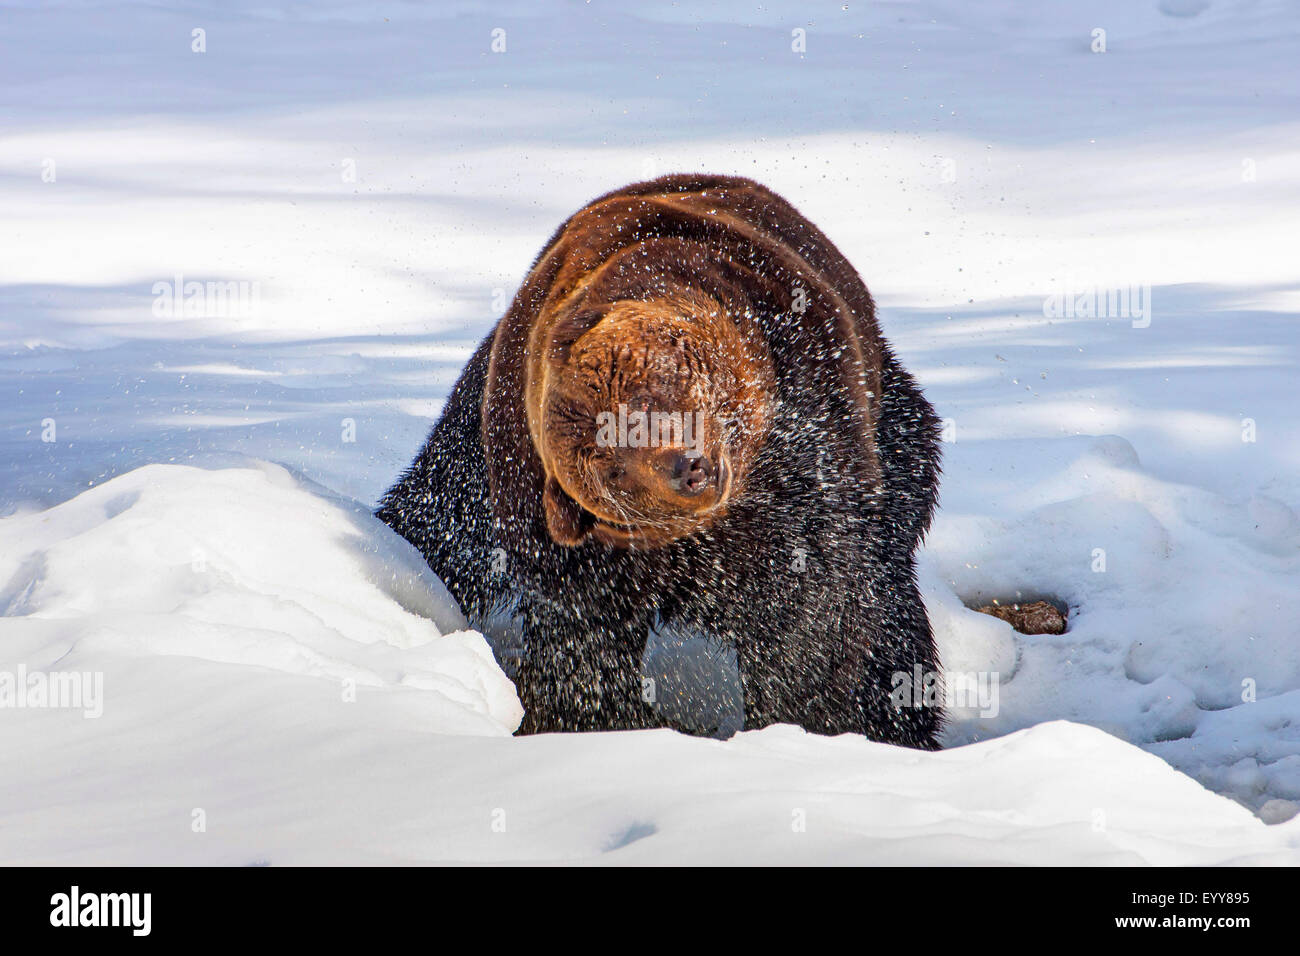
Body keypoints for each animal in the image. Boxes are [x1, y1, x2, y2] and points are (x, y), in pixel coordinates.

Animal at [377, 174, 943, 748]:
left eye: (646, 406)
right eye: (612, 469)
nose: (687, 470)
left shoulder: (804, 408)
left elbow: (814, 605)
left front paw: (835, 717)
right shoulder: (554, 521)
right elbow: (583, 645)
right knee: (438, 519)